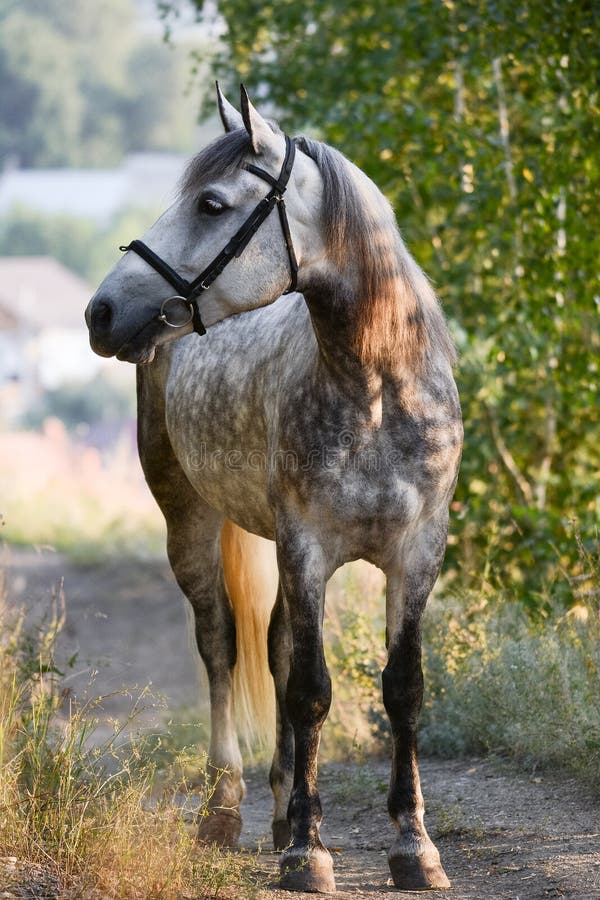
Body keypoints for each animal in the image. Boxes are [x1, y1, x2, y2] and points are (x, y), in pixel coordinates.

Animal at [85, 85, 462, 893]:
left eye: (212, 204)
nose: (102, 312)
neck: (375, 392)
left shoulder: (417, 556)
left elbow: (402, 689)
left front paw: (412, 844)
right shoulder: (308, 548)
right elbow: (311, 689)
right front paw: (307, 856)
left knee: (276, 646)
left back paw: (286, 806)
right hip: (190, 519)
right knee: (223, 646)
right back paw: (223, 810)